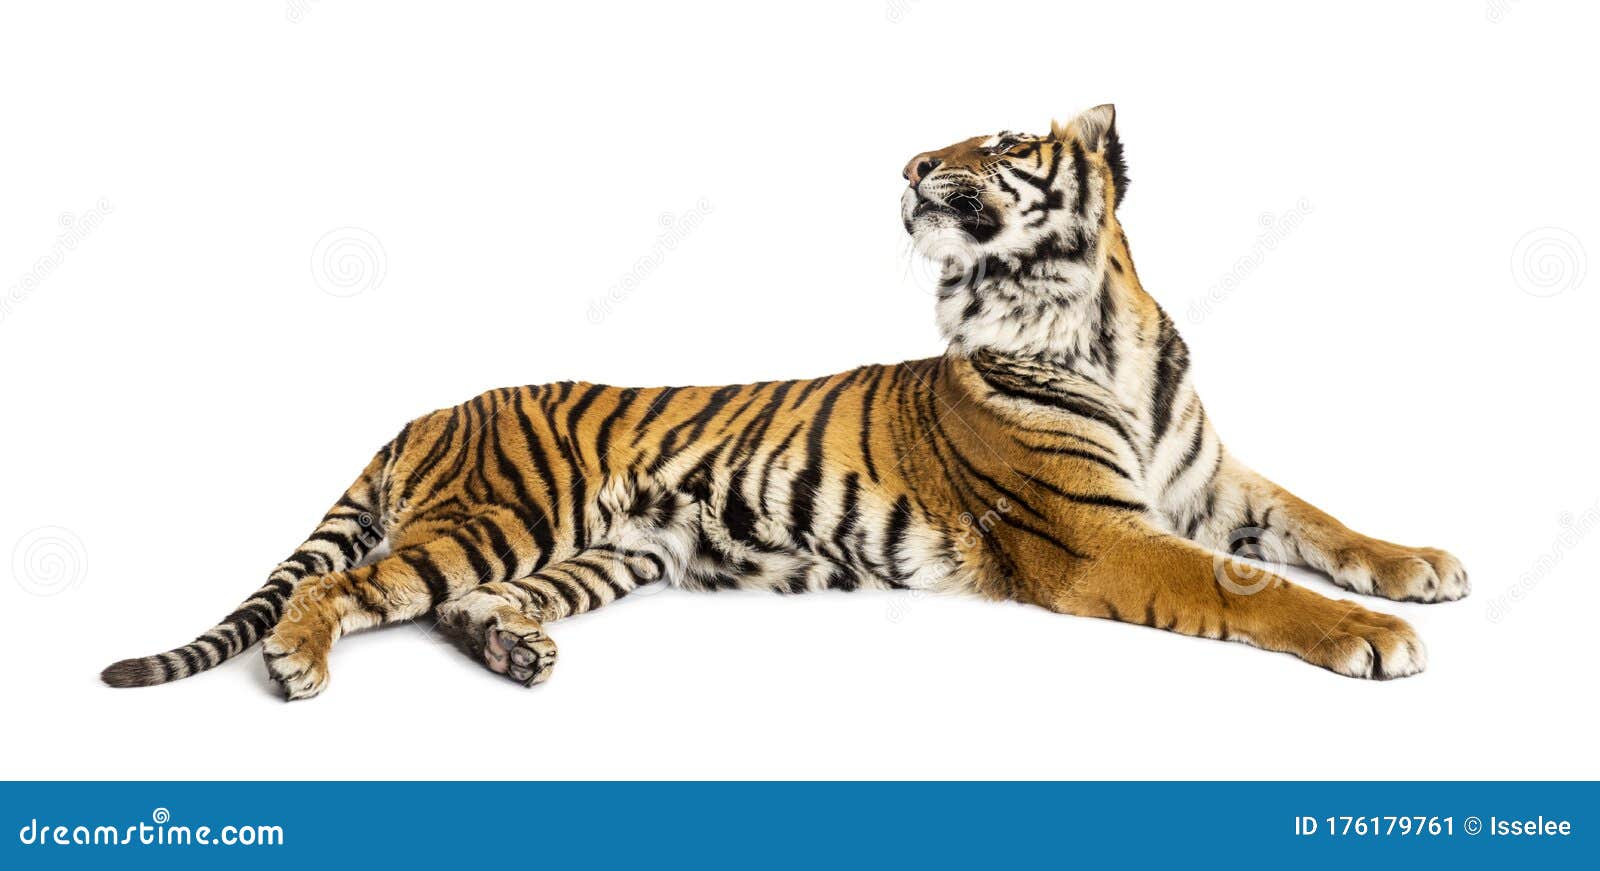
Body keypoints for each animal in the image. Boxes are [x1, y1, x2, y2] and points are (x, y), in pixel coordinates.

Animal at [102, 104, 1467, 700]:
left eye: (1001, 140)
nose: (911, 163)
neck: (1080, 319)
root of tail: (431, 408)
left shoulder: (1206, 479)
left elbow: (1316, 522)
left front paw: (1421, 567)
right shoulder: (1096, 534)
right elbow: (1247, 585)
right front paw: (1373, 636)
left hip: (605, 554)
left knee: (455, 606)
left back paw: (515, 652)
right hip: (499, 517)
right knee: (353, 582)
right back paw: (298, 660)